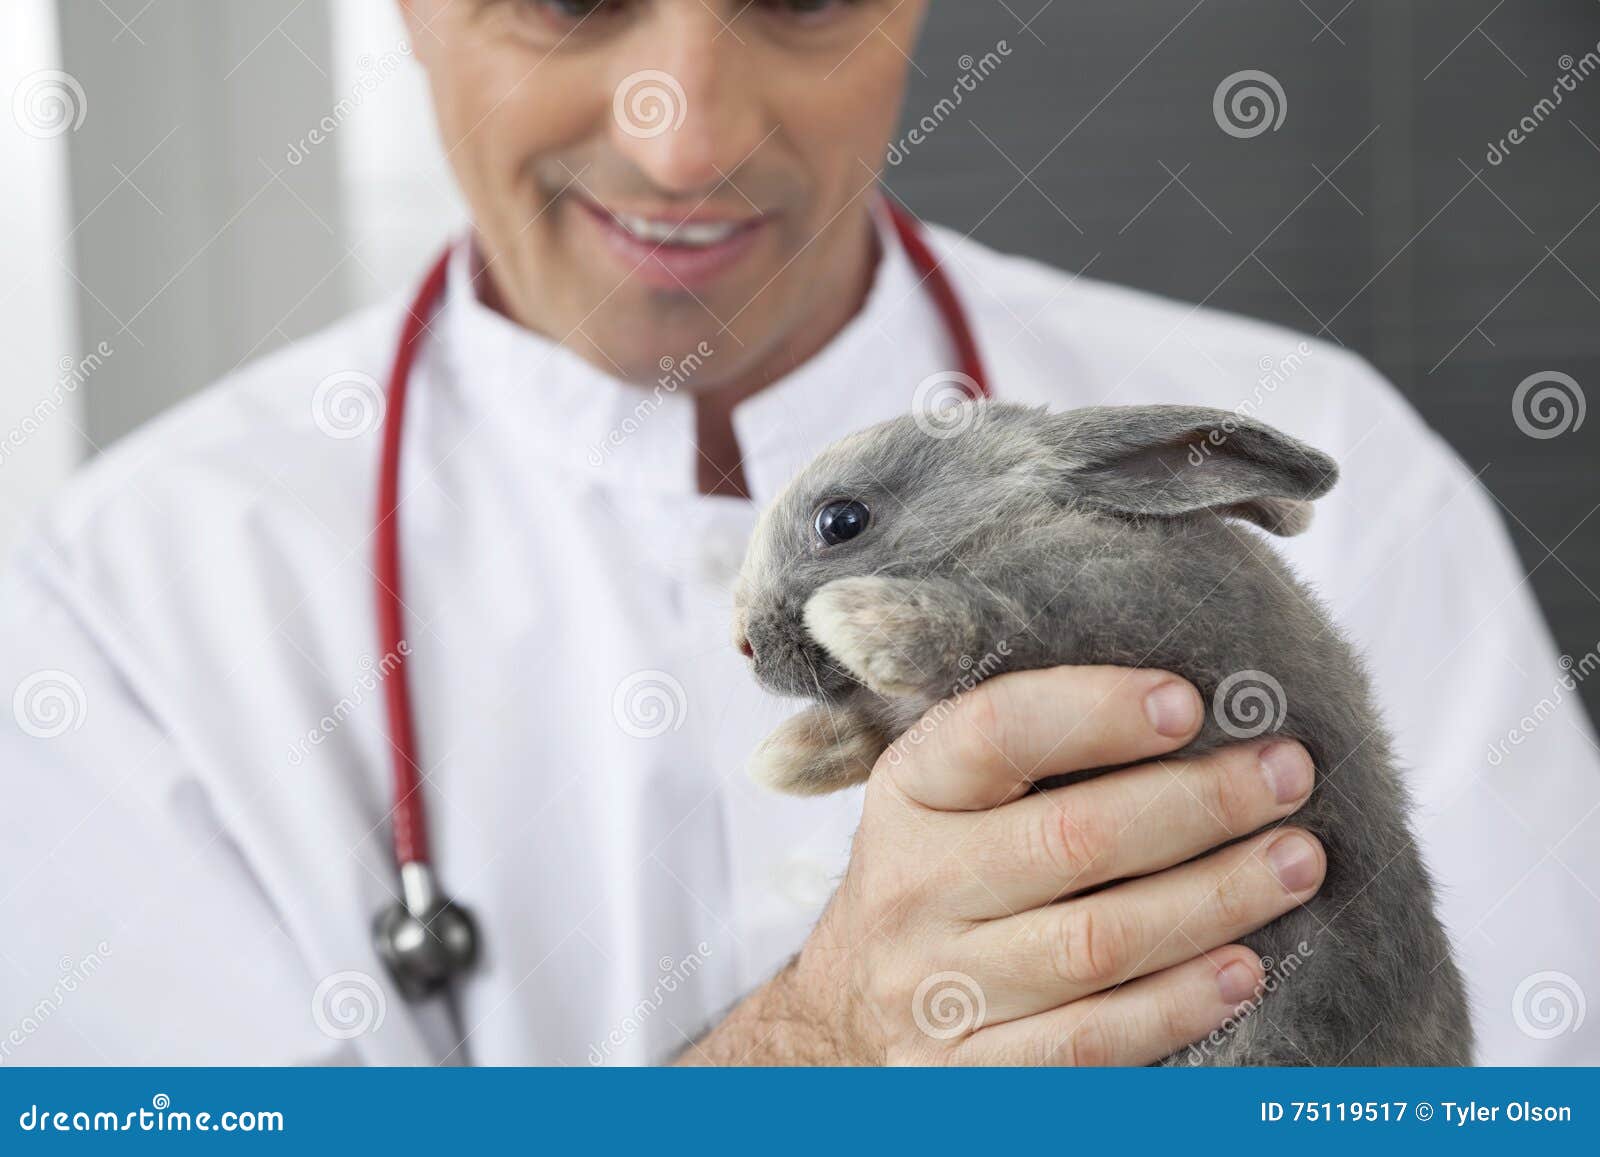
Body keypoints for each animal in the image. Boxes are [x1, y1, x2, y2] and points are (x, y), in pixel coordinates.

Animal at [730, 401, 1474, 1066]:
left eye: (842, 521)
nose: (742, 643)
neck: (1004, 525)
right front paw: (788, 757)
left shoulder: (1127, 610)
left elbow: (997, 619)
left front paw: (857, 620)